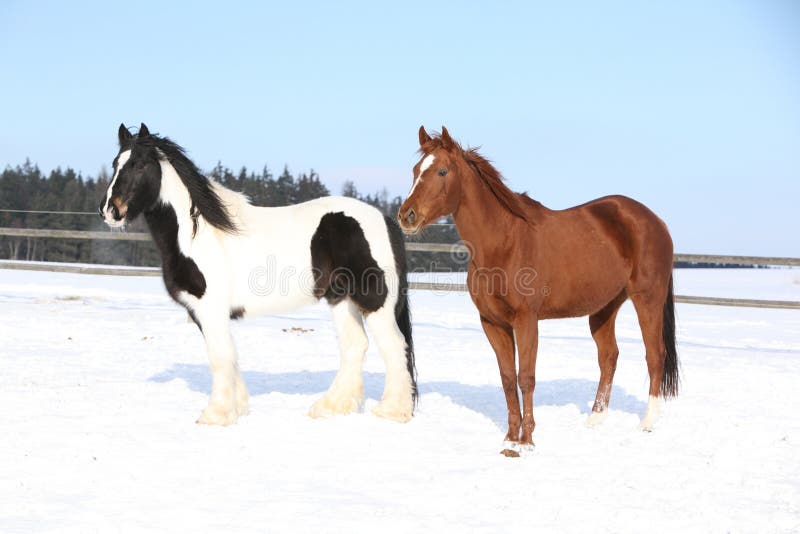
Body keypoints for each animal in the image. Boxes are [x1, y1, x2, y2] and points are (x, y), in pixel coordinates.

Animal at [100, 123, 416, 426]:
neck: (198, 234)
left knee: (394, 345)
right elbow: (230, 357)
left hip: (374, 300)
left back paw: (392, 411)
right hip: (341, 299)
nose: (110, 211)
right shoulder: (203, 313)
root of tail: (384, 218)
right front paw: (237, 408)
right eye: (116, 163)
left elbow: (220, 357)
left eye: (140, 165)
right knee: (355, 346)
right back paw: (330, 408)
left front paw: (215, 415)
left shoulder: (210, 309)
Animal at [398, 126, 678, 451]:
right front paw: (510, 438)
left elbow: (526, 378)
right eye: (415, 170)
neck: (504, 243)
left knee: (654, 355)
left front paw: (528, 440)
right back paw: (594, 419)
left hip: (648, 299)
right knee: (609, 358)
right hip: (604, 308)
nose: (407, 215)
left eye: (442, 171)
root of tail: (655, 221)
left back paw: (647, 423)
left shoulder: (526, 320)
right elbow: (508, 379)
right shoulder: (492, 323)